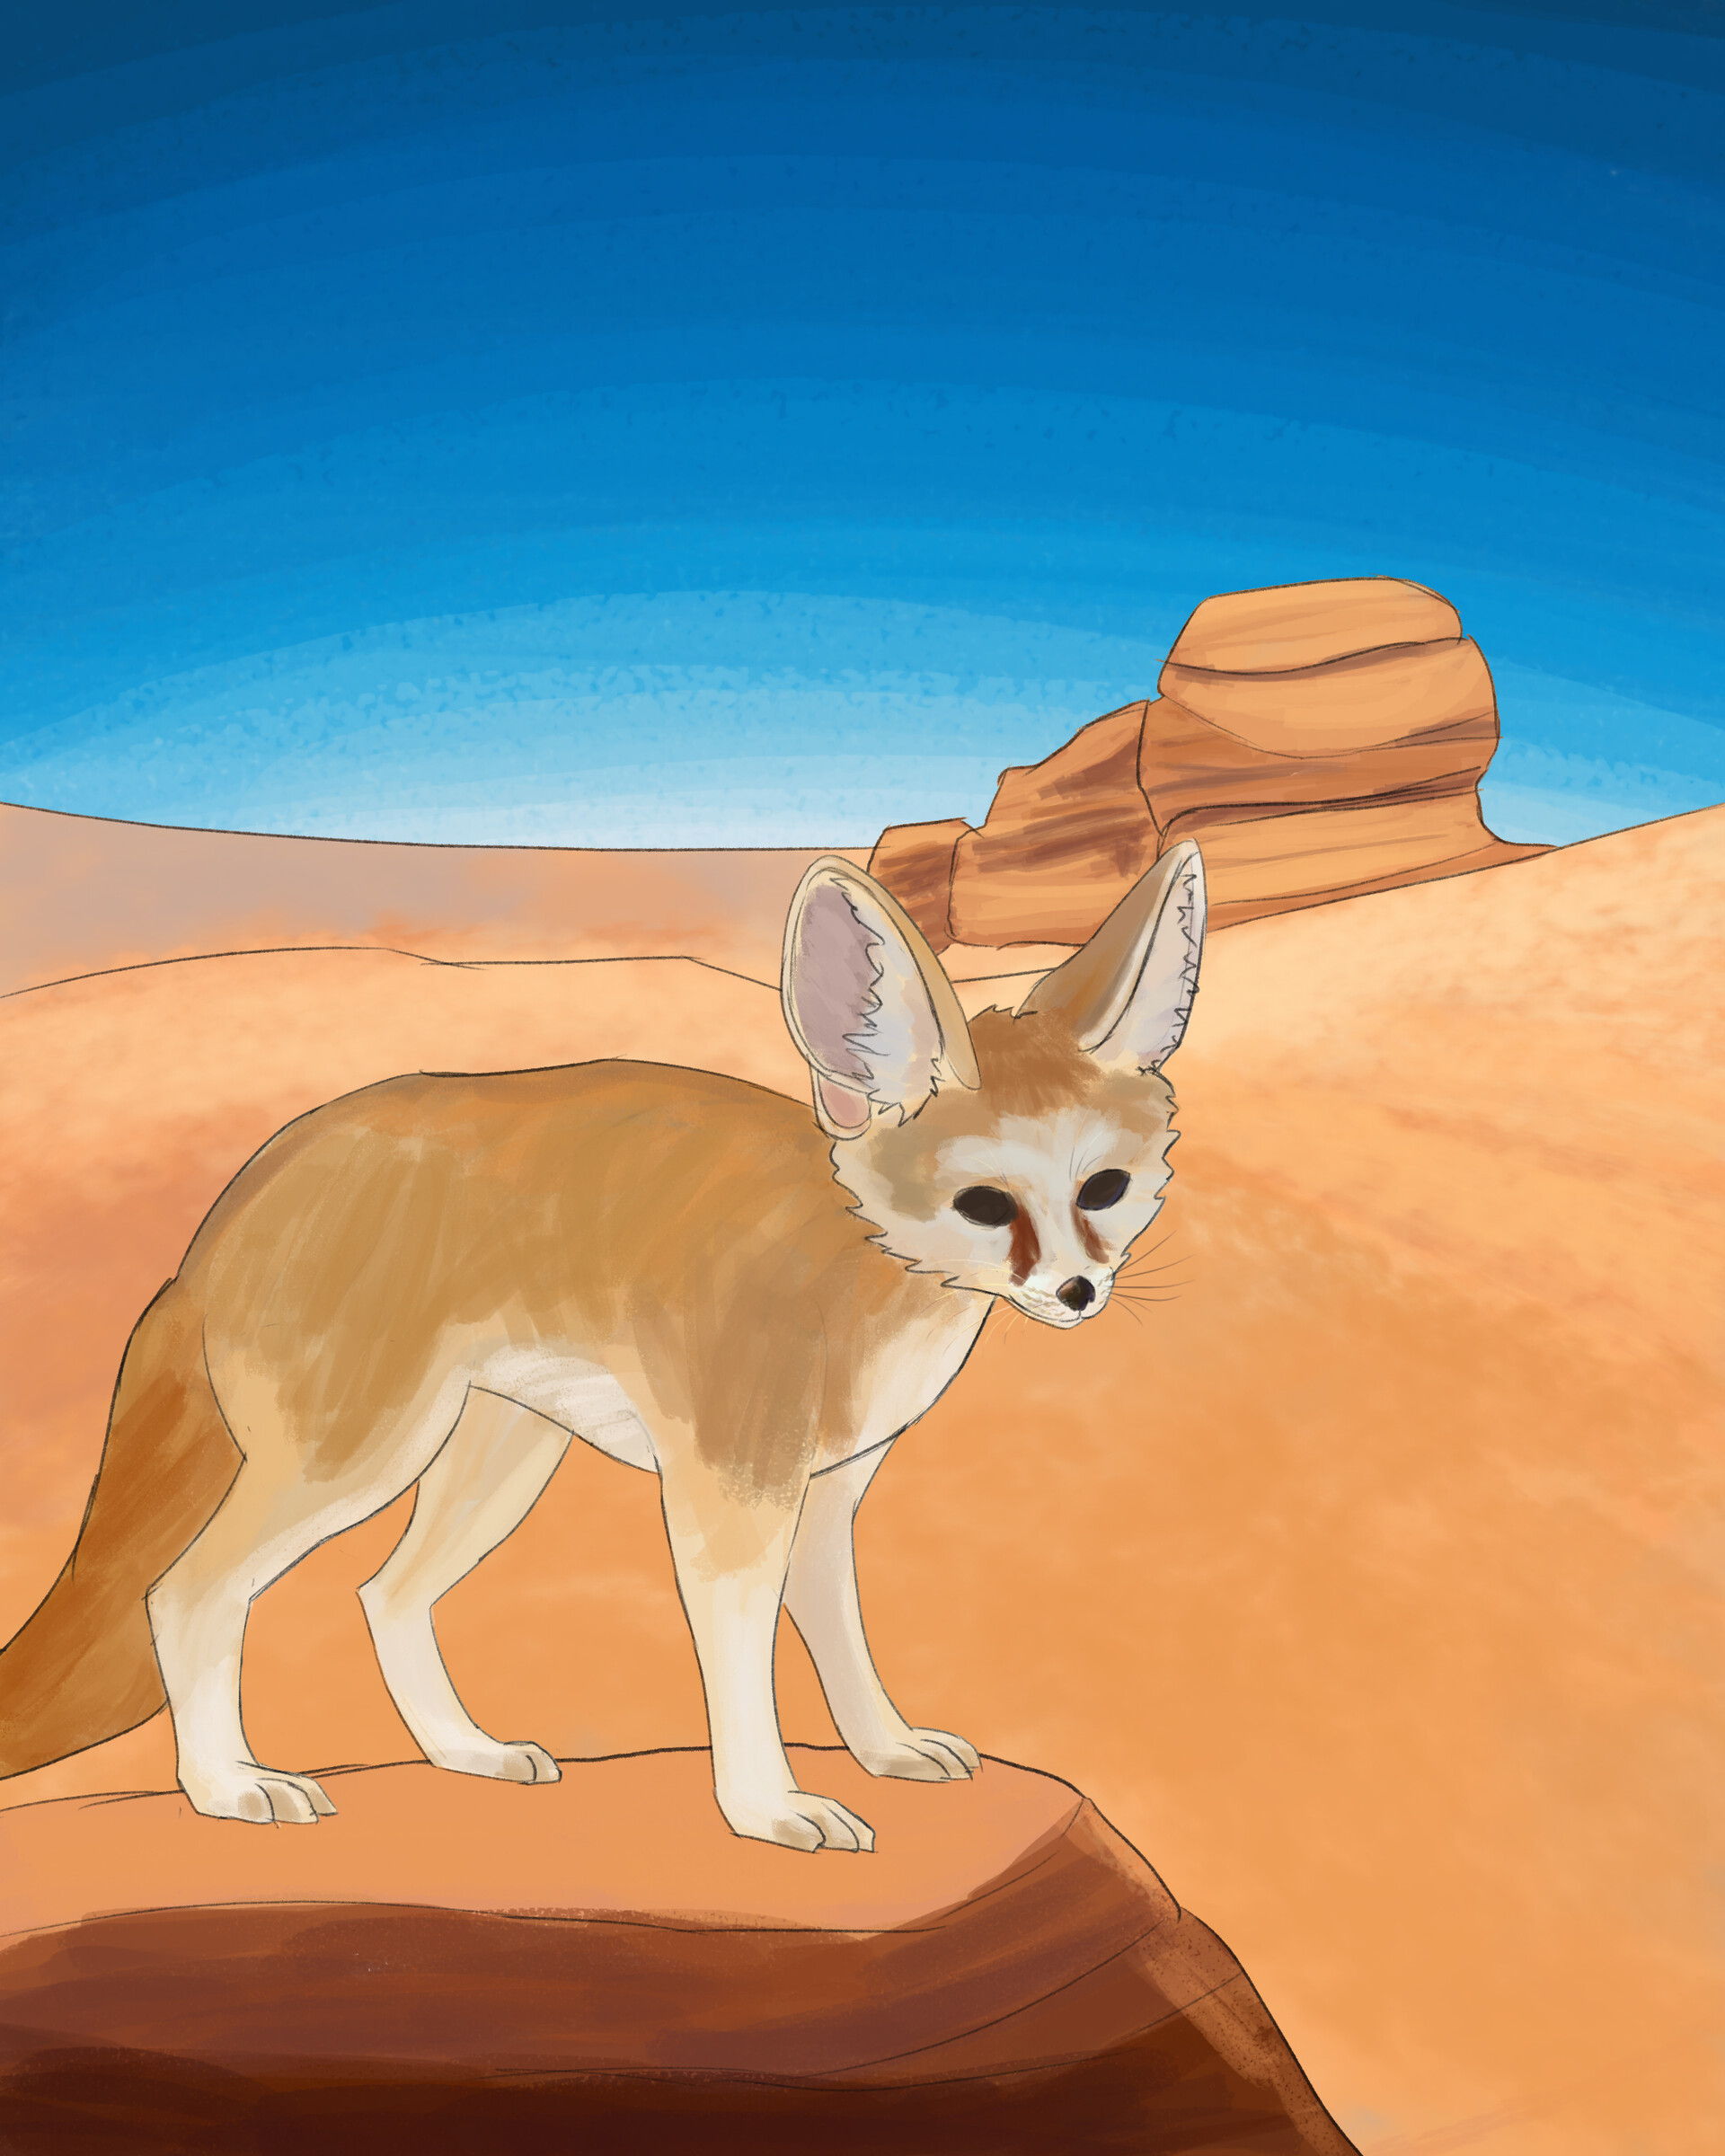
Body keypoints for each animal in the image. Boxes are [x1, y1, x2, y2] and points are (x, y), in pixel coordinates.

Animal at [0, 842, 1205, 1853]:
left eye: (1103, 1190)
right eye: (986, 1204)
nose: (1079, 1291)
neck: (864, 1268)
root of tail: (243, 1191)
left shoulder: (826, 1497)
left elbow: (844, 1643)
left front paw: (884, 1749)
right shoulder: (731, 1489)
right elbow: (741, 1665)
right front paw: (767, 1807)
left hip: (495, 1461)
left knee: (386, 1595)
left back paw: (465, 1753)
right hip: (358, 1455)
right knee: (186, 1593)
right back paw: (226, 1787)